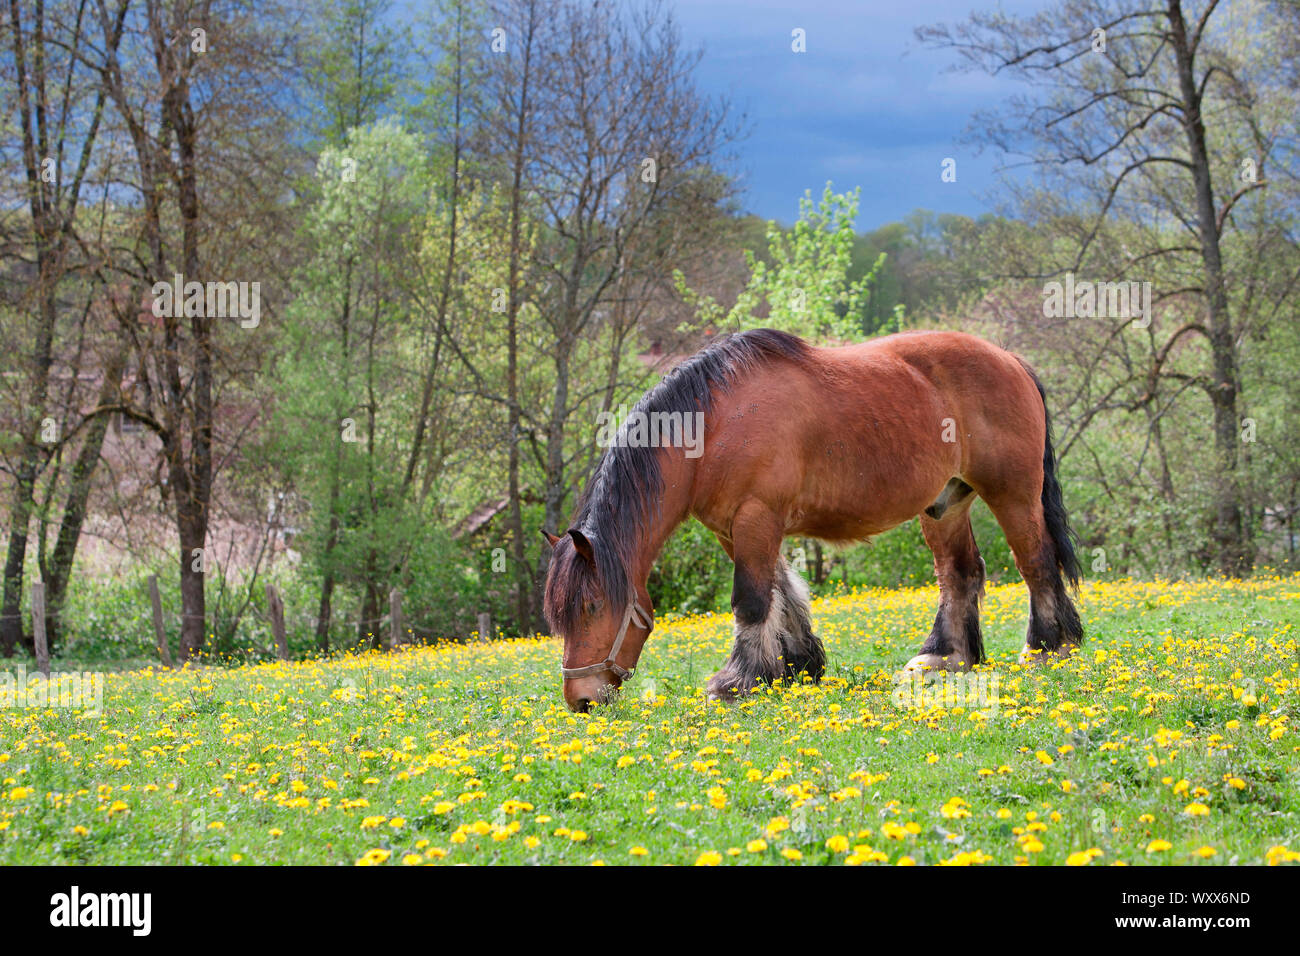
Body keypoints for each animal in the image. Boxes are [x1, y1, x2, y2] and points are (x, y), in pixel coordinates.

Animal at [543, 328, 1083, 713]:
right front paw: (797, 665)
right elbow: (783, 594)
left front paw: (736, 682)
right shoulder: (737, 529)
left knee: (1035, 562)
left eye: (591, 606)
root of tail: (1010, 360)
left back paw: (1047, 648)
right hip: (945, 504)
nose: (581, 699)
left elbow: (752, 600)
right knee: (959, 573)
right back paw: (945, 659)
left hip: (1012, 494)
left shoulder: (757, 516)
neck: (714, 424)